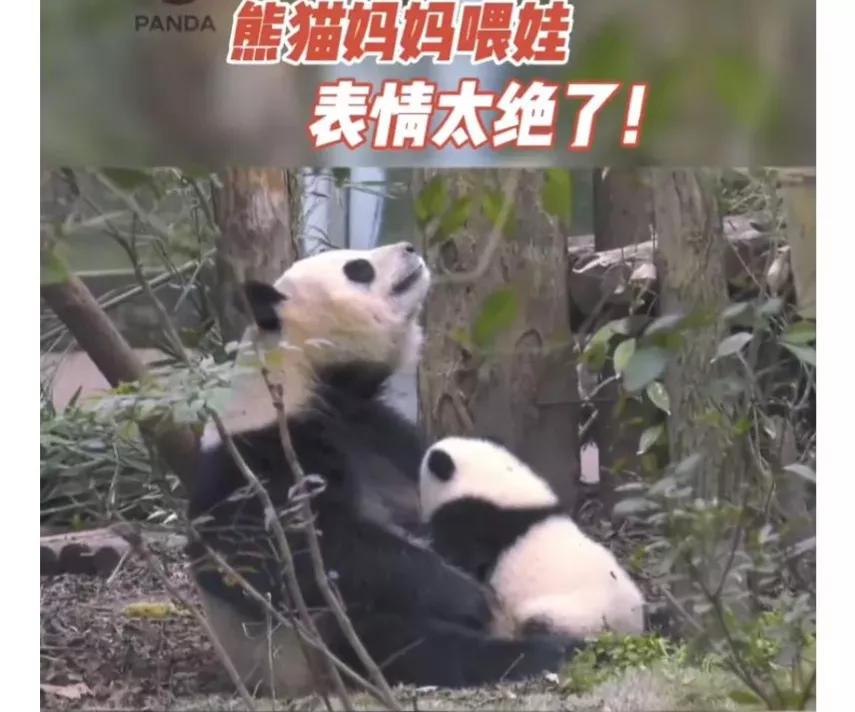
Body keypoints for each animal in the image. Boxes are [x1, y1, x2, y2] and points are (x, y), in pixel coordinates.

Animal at [187, 243, 572, 696]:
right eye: (358, 269)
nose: (409, 248)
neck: (308, 381)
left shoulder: (380, 429)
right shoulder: (259, 460)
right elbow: (287, 553)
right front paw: (467, 596)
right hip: (307, 650)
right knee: (398, 638)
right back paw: (531, 652)